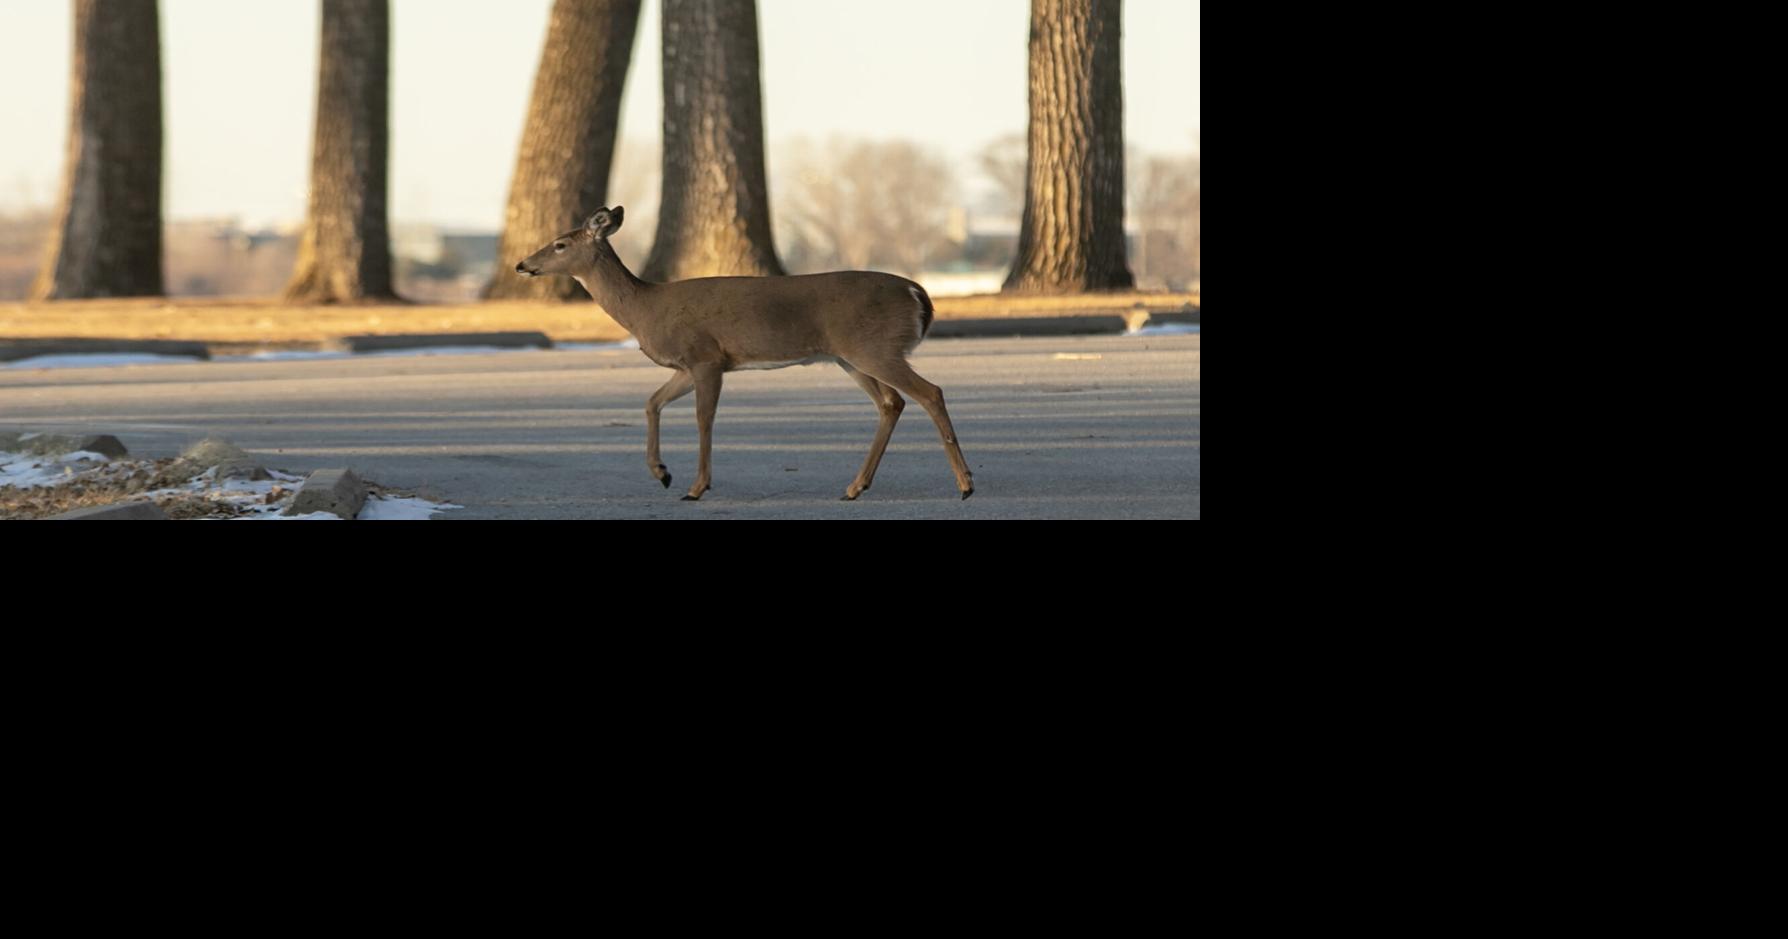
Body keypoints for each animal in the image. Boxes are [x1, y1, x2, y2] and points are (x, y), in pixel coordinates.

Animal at [515, 207, 973, 503]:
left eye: (559, 244)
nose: (522, 264)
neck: (644, 308)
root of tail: (918, 292)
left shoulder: (706, 356)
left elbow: (704, 418)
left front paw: (696, 487)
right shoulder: (687, 365)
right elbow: (651, 402)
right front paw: (662, 473)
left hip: (874, 348)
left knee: (929, 392)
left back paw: (965, 484)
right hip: (851, 356)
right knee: (892, 402)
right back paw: (855, 487)